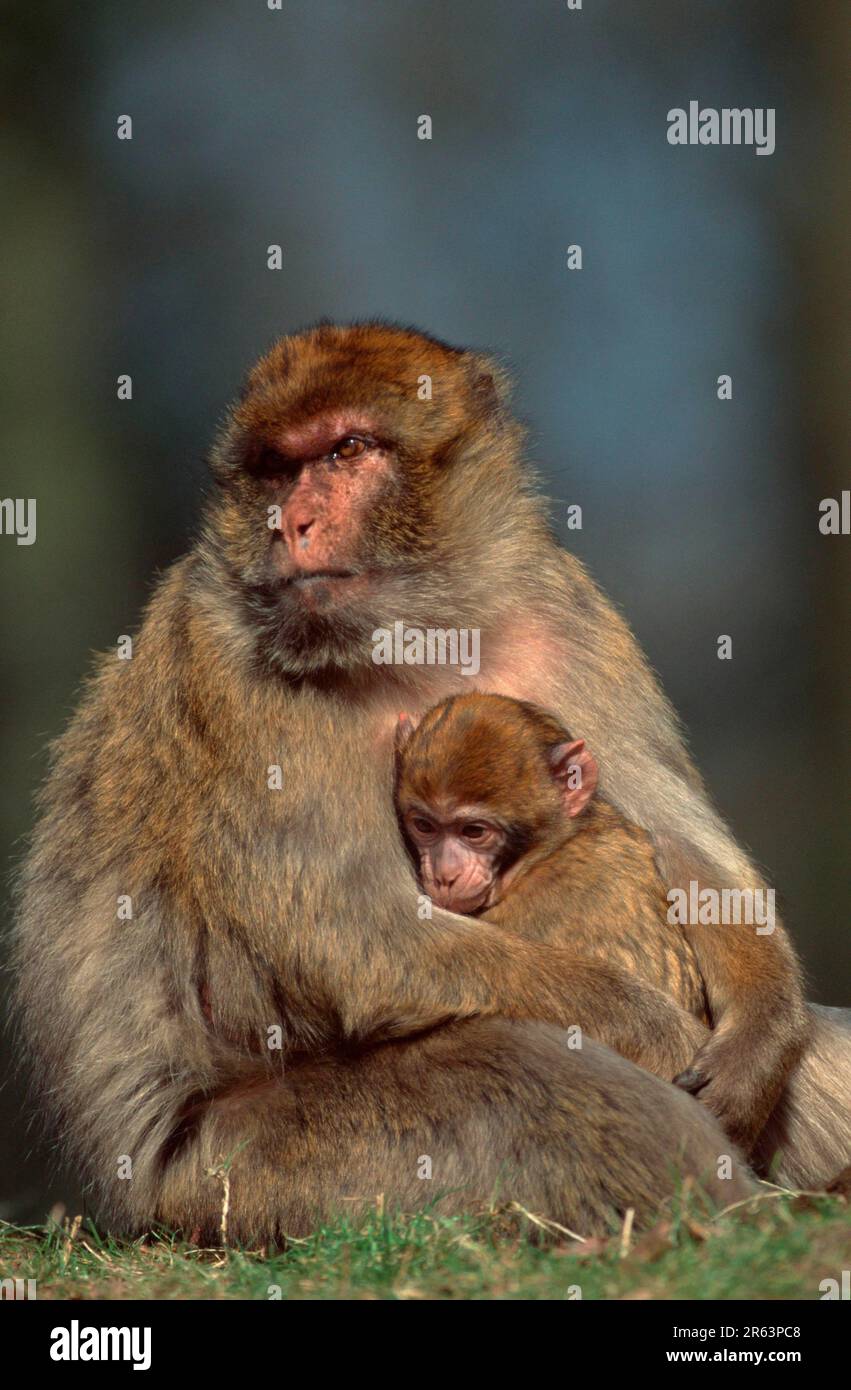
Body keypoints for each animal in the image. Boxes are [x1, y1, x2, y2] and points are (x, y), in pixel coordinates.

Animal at [11, 320, 843, 1246]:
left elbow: (679, 849)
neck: (417, 628)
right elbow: (351, 934)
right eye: (275, 468)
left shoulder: (566, 610)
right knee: (531, 1079)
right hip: (249, 1174)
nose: (289, 523)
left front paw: (758, 1038)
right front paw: (651, 1028)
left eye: (346, 451)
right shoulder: (231, 672)